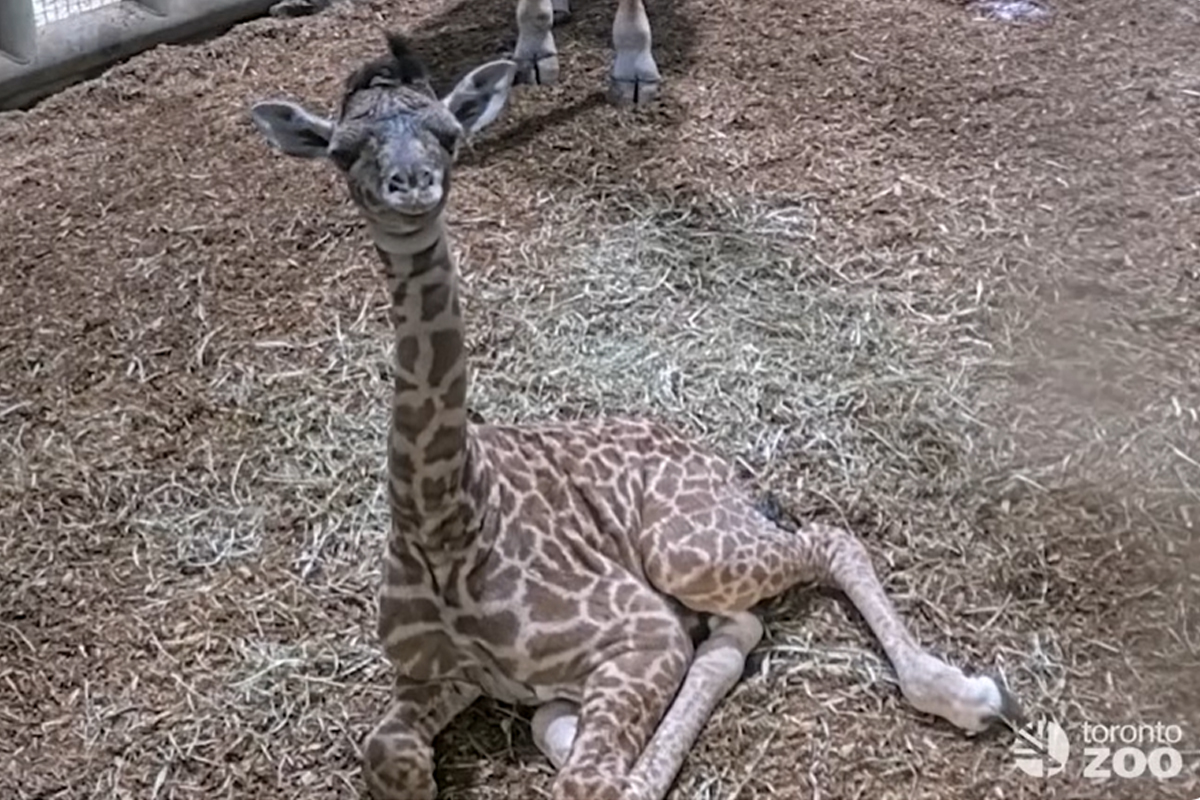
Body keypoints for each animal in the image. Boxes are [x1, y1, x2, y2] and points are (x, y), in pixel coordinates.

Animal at [248, 33, 1022, 800]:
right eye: (343, 150)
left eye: (448, 133)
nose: (411, 186)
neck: (445, 525)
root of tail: (721, 466)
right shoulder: (439, 674)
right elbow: (392, 753)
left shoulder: (643, 633)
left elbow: (592, 782)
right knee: (730, 634)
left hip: (688, 551)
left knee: (828, 541)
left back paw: (971, 696)